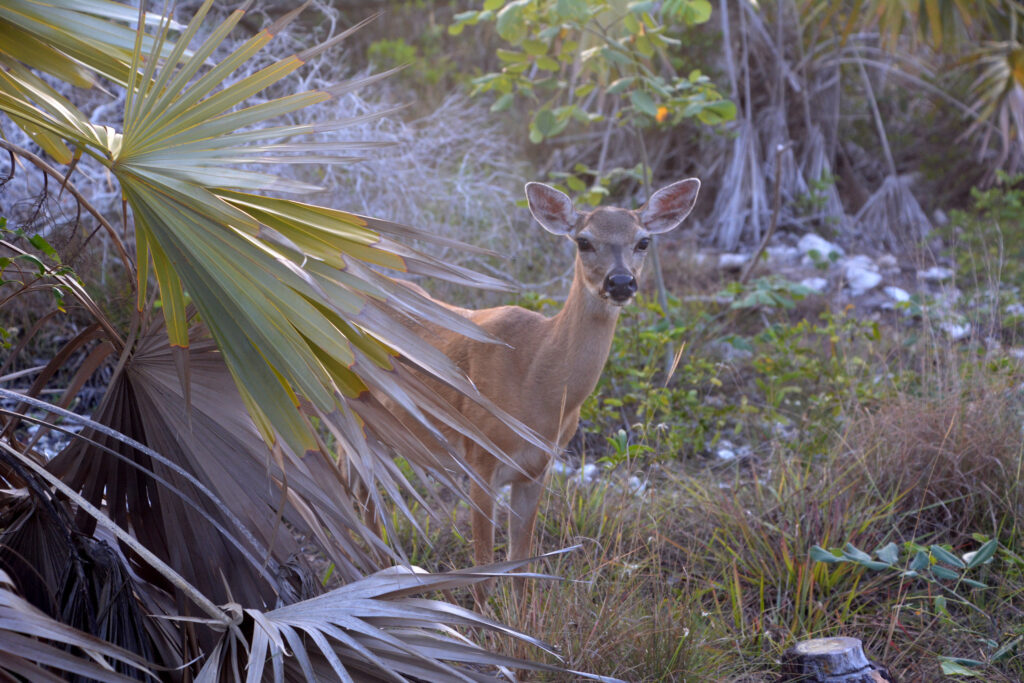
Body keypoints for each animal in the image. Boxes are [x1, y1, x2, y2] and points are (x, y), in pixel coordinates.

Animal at [391, 178, 700, 592]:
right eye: (583, 241)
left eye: (643, 241)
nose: (620, 281)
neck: (535, 386)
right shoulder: (480, 460)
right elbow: (483, 571)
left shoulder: (536, 469)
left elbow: (522, 568)